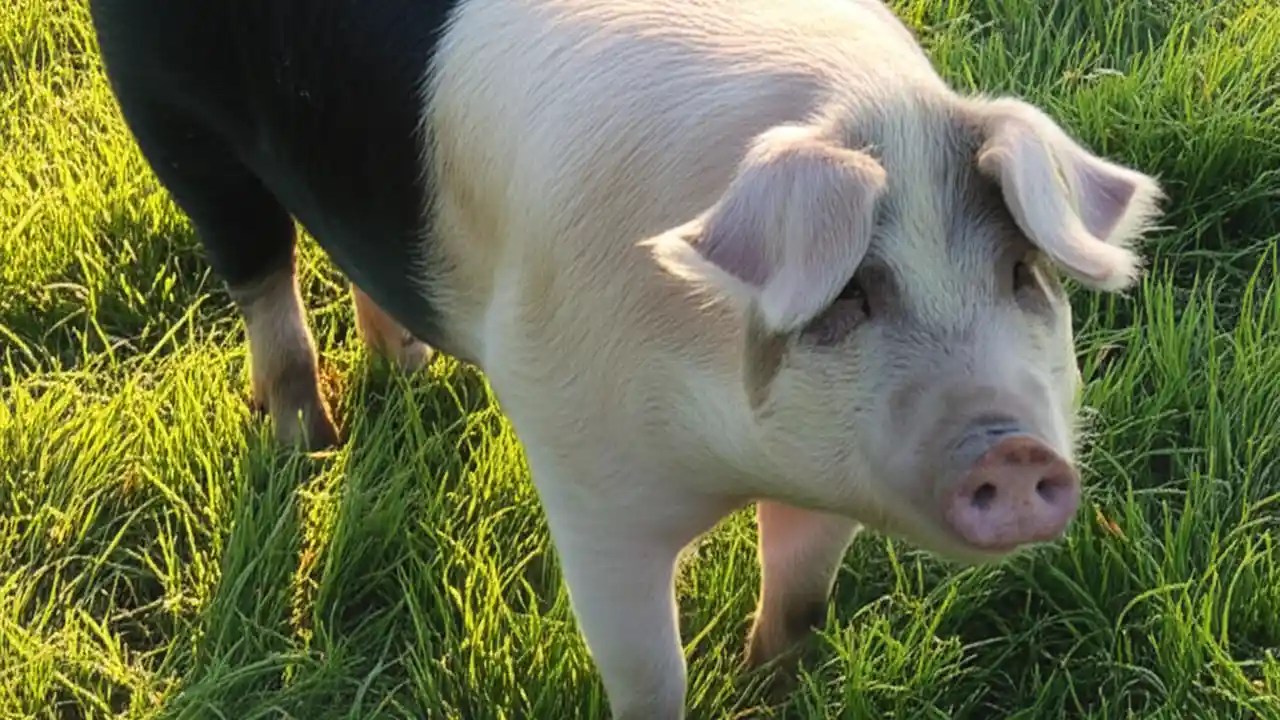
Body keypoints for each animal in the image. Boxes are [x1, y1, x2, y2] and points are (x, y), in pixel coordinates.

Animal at [89, 0, 1165, 716]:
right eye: (852, 294)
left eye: (1021, 274)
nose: (1012, 451)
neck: (734, 460)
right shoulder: (584, 476)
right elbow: (647, 667)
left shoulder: (832, 475)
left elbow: (804, 600)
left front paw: (767, 687)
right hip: (170, 119)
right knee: (259, 268)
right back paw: (307, 439)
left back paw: (412, 369)